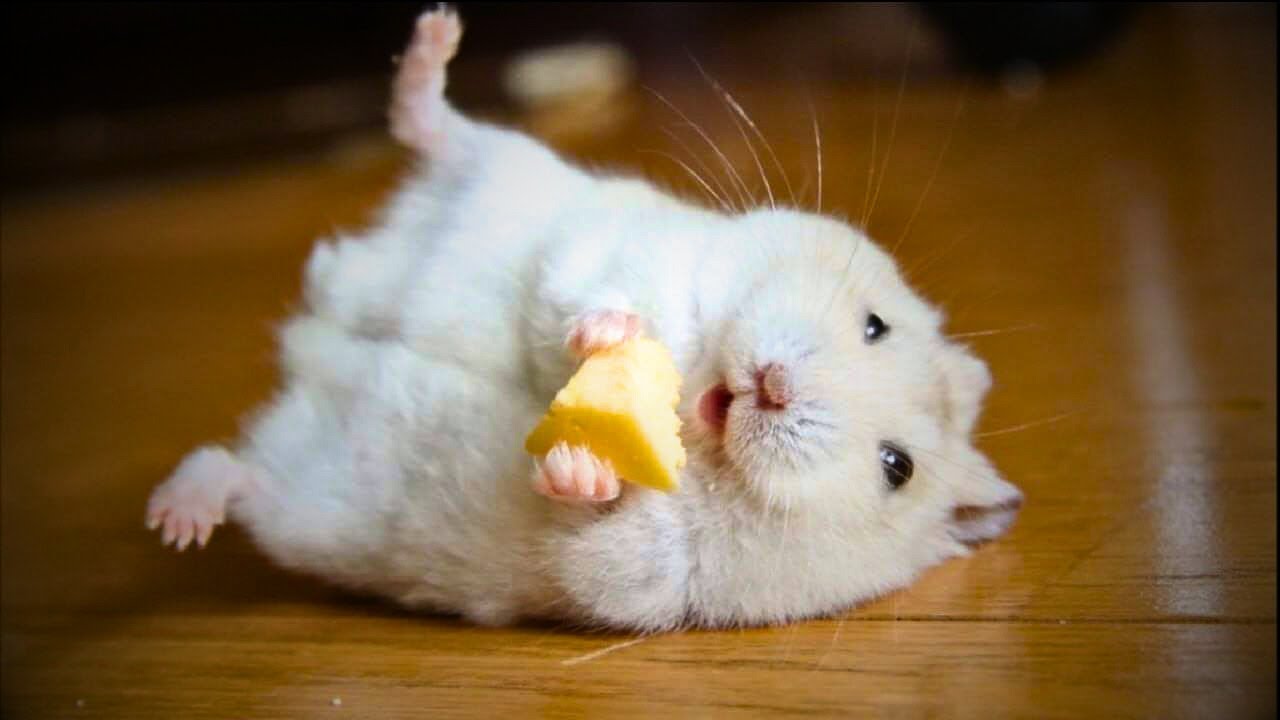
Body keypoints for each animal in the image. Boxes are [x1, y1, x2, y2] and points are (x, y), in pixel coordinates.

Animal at [145, 8, 1022, 632]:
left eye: (896, 468)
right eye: (875, 324)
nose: (775, 386)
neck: (694, 406)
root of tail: (309, 332)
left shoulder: (643, 577)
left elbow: (593, 520)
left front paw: (577, 465)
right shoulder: (641, 248)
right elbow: (583, 293)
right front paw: (602, 334)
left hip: (297, 503)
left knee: (235, 471)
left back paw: (178, 518)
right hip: (500, 163)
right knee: (432, 128)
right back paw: (437, 34)